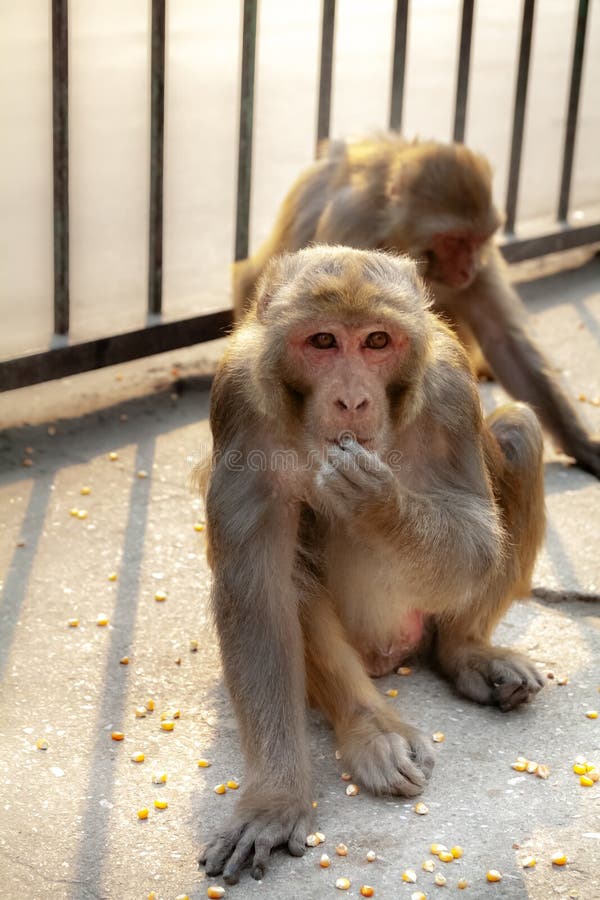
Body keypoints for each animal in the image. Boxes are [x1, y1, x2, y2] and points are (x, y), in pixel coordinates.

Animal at [200, 246, 546, 883]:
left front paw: (376, 502)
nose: (353, 400)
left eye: (377, 341)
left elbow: (477, 540)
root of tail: (391, 656)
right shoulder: (235, 397)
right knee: (290, 560)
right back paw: (371, 729)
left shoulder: (453, 385)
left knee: (518, 432)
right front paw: (275, 802)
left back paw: (467, 652)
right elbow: (255, 589)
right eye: (323, 342)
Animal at [233, 135, 600, 478]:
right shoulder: (351, 231)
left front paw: (583, 445)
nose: (468, 269)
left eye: (477, 239)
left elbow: (503, 339)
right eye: (453, 240)